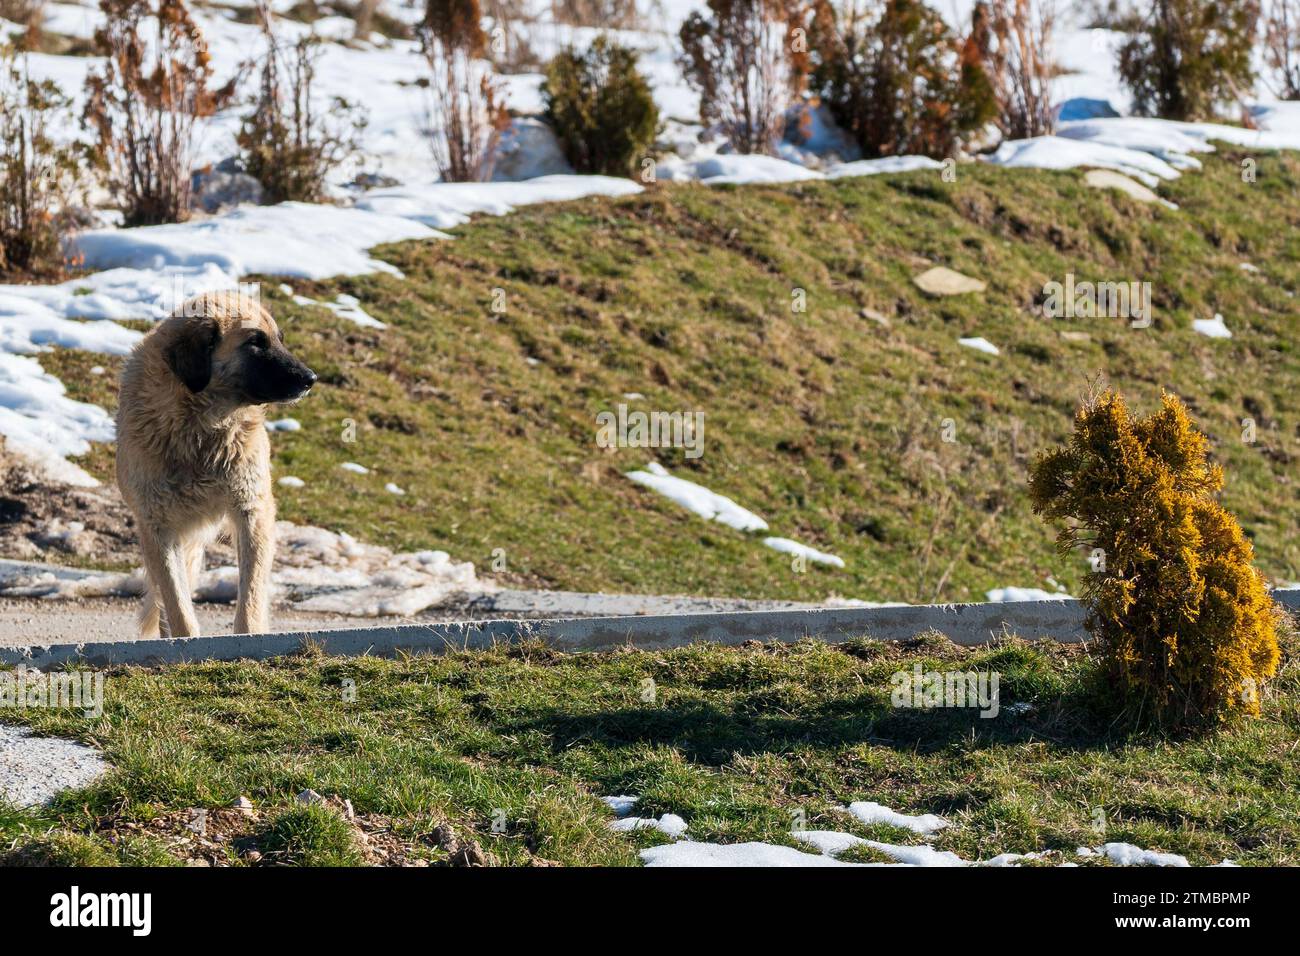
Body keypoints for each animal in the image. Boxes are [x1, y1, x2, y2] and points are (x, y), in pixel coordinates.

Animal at [118, 290, 318, 634]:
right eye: (255, 342)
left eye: (279, 339)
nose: (311, 379)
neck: (199, 429)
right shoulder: (157, 526)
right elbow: (177, 605)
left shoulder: (252, 512)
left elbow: (250, 596)